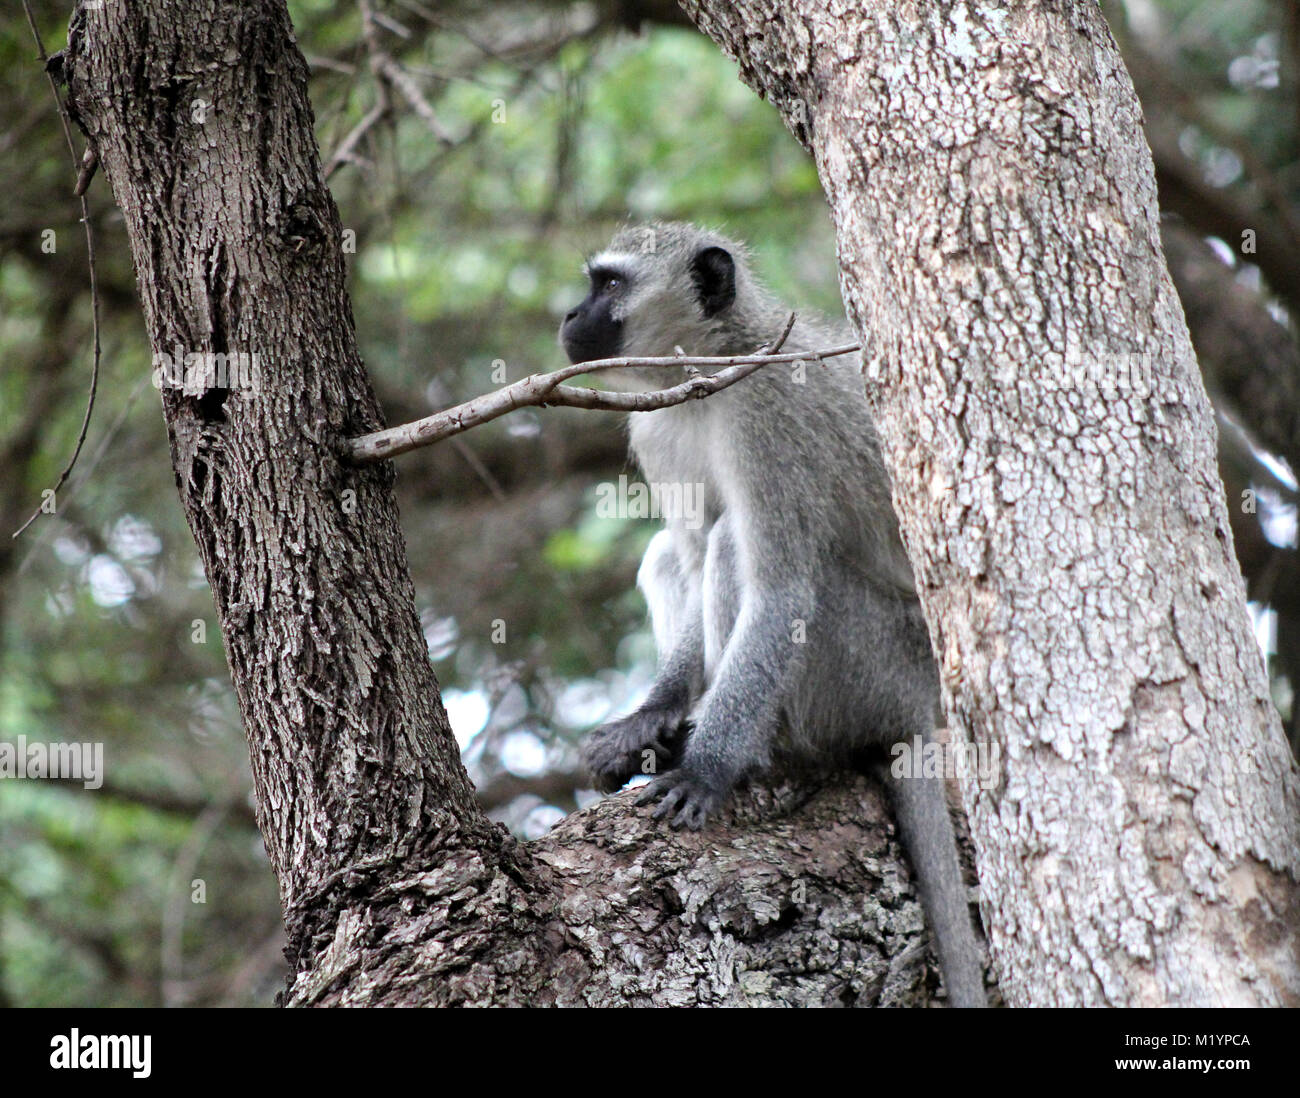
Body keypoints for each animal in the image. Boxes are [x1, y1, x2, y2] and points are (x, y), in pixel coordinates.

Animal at [558, 221, 986, 1008]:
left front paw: (707, 769)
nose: (570, 316)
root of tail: (919, 703)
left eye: (610, 285)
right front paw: (650, 719)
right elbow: (690, 554)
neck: (710, 374)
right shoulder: (658, 428)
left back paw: (747, 749)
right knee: (675, 552)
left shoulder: (769, 420)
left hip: (866, 667)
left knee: (739, 549)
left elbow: (781, 591)